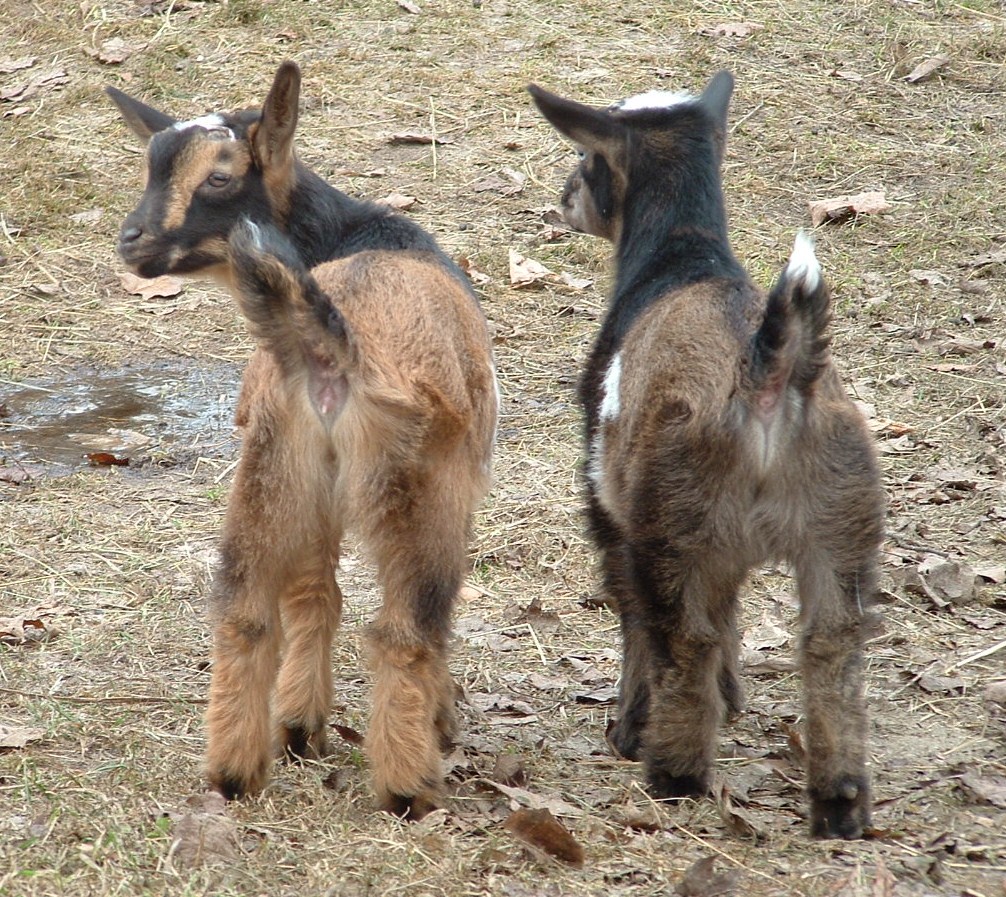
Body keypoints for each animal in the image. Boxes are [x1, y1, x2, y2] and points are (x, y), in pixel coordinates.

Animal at [107, 62, 498, 818]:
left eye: (220, 177)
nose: (131, 241)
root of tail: (328, 346)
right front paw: (440, 719)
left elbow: (313, 591)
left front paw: (298, 723)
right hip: (417, 485)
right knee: (406, 628)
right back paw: (408, 786)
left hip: (274, 463)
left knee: (246, 609)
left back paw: (234, 769)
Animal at [529, 72, 884, 839]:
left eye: (589, 159)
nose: (565, 196)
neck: (683, 256)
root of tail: (769, 375)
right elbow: (728, 619)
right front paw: (734, 696)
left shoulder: (615, 507)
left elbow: (639, 619)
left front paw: (629, 727)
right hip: (837, 528)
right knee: (832, 650)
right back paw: (839, 800)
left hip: (672, 520)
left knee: (680, 637)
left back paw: (674, 773)